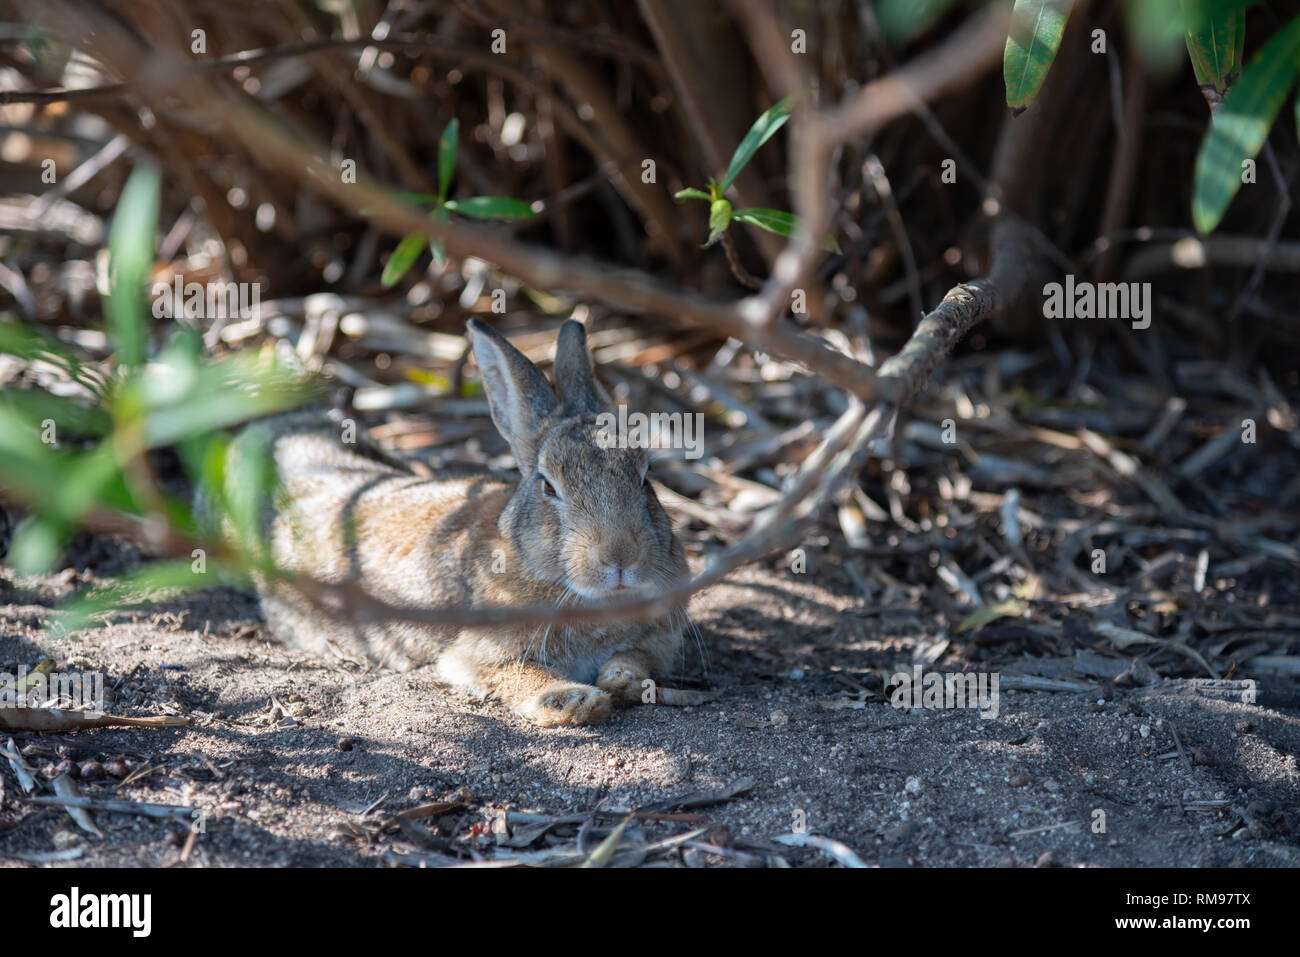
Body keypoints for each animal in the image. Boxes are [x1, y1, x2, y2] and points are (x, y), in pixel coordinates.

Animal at [220, 319, 691, 726]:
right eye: (548, 486)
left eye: (645, 475)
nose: (620, 557)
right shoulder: (477, 653)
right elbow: (514, 672)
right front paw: (573, 701)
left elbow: (638, 659)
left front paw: (621, 677)